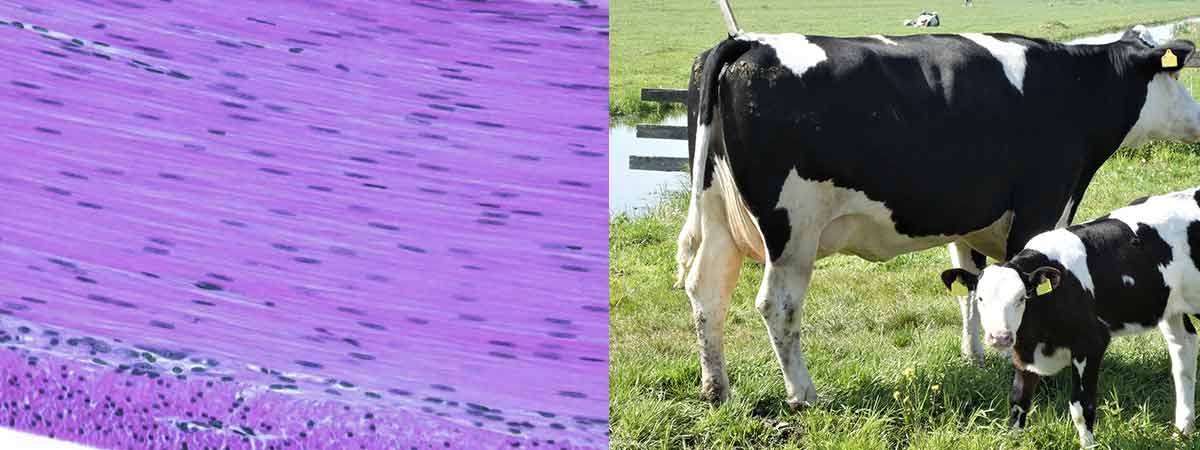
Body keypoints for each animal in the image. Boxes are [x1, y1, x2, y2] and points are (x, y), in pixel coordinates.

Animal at [674, 0, 1200, 409]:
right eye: (1177, 76)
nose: (1197, 119)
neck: (1076, 87)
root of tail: (748, 43)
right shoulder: (1042, 204)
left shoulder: (973, 217)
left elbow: (973, 283)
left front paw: (977, 355)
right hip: (792, 229)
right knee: (778, 305)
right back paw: (803, 395)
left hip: (719, 215)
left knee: (707, 292)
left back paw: (717, 390)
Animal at [940, 188, 1200, 447]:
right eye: (980, 298)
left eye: (1022, 298)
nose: (1000, 337)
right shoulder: (1024, 353)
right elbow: (1018, 402)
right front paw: (1014, 442)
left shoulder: (1091, 343)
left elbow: (1081, 408)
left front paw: (1089, 445)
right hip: (1171, 308)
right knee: (1184, 351)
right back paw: (1183, 431)